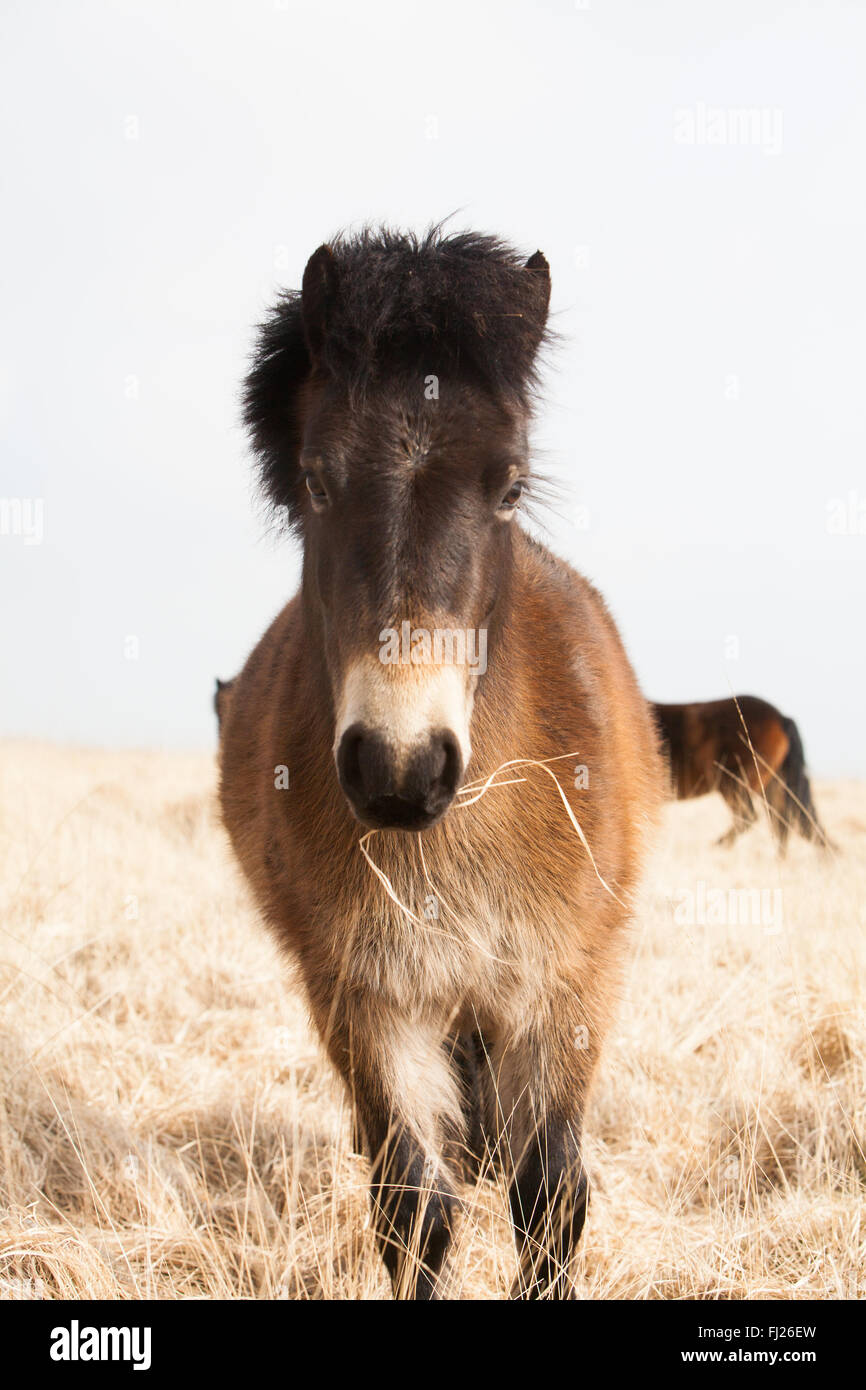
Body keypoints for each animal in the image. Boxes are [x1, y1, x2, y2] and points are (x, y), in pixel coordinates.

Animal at [219, 226, 664, 1299]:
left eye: (511, 485)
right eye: (319, 480)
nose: (400, 769)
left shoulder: (564, 990)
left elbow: (549, 1197)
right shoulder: (373, 1004)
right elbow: (414, 1208)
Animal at [651, 695, 828, 850]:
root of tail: (781, 717)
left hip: (734, 782)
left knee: (749, 818)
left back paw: (716, 847)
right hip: (771, 785)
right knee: (781, 824)